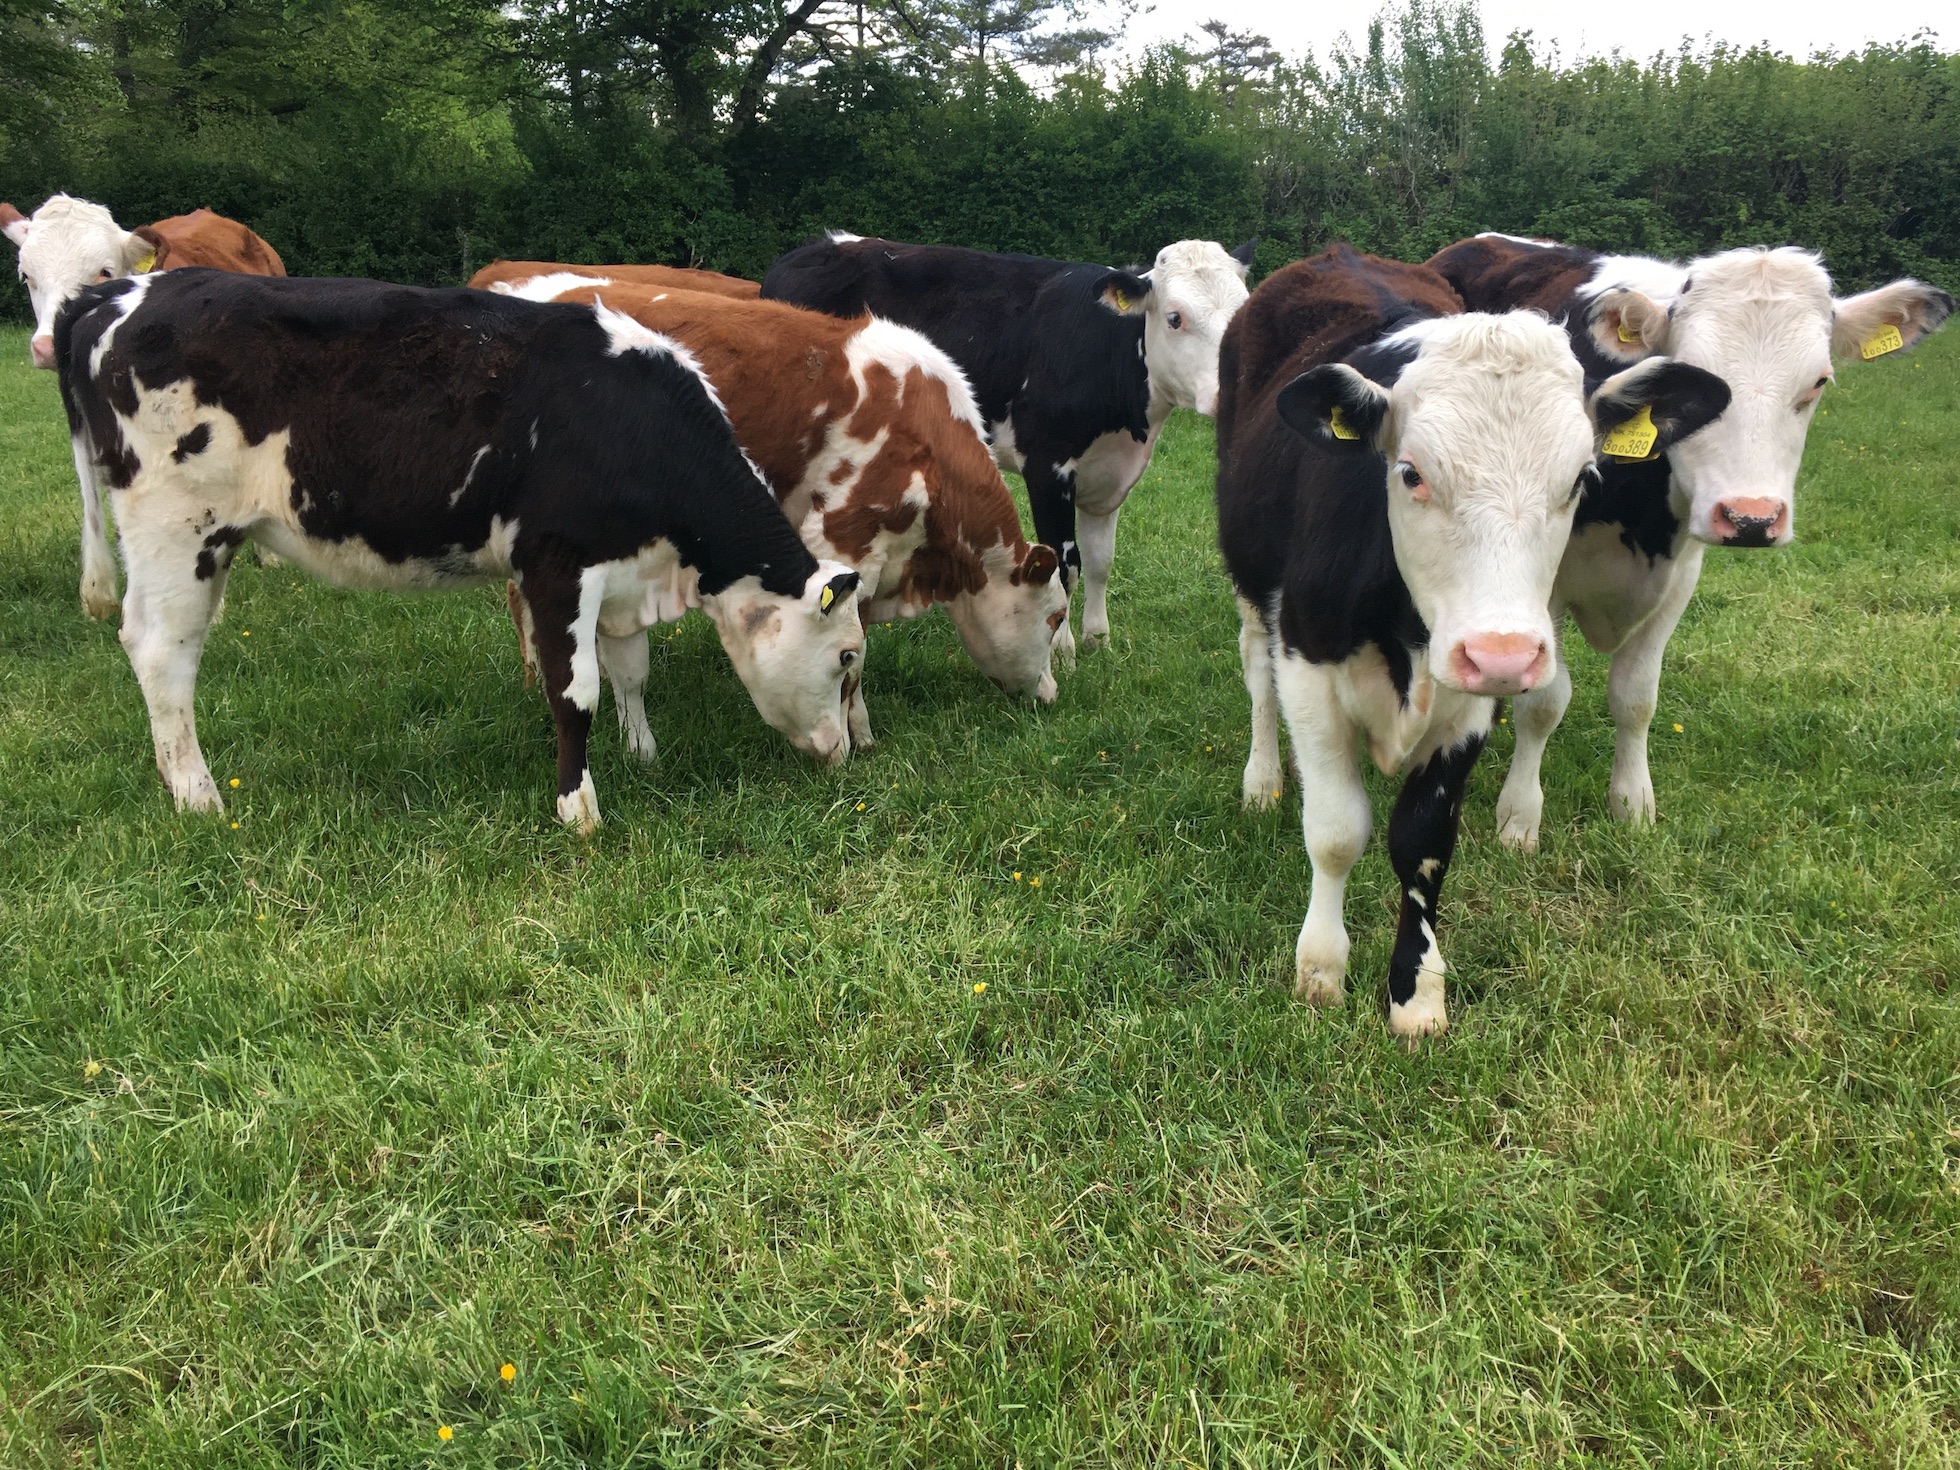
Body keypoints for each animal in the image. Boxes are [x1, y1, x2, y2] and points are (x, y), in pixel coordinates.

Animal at [54, 269, 867, 831]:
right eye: (846, 657)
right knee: (161, 651)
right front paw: (580, 809)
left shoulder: (622, 573)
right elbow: (576, 692)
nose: (842, 755)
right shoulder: (556, 563)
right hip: (178, 529)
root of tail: (116, 291)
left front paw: (645, 755)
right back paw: (197, 796)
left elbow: (631, 672)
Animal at [761, 233, 1254, 663]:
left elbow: (1101, 562)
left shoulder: (1110, 476)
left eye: (1244, 312)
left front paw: (1099, 641)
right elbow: (1066, 565)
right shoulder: (1049, 468)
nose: (1234, 387)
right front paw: (1063, 652)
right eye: (1175, 318)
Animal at [1217, 246, 1729, 1036]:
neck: (1406, 629)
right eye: (1410, 473)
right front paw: (1322, 969)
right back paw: (1264, 779)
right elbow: (1335, 832)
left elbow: (1423, 843)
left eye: (1581, 478)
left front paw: (1417, 992)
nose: (1503, 655)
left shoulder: (1468, 710)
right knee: (1255, 677)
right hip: (1251, 586)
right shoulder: (1308, 667)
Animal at [1429, 233, 1953, 848]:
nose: (1751, 519)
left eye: (1818, 382)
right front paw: (1519, 820)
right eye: (1704, 385)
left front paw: (1632, 804)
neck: (1637, 512)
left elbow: (1636, 697)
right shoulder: (1539, 582)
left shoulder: (1679, 578)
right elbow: (1543, 702)